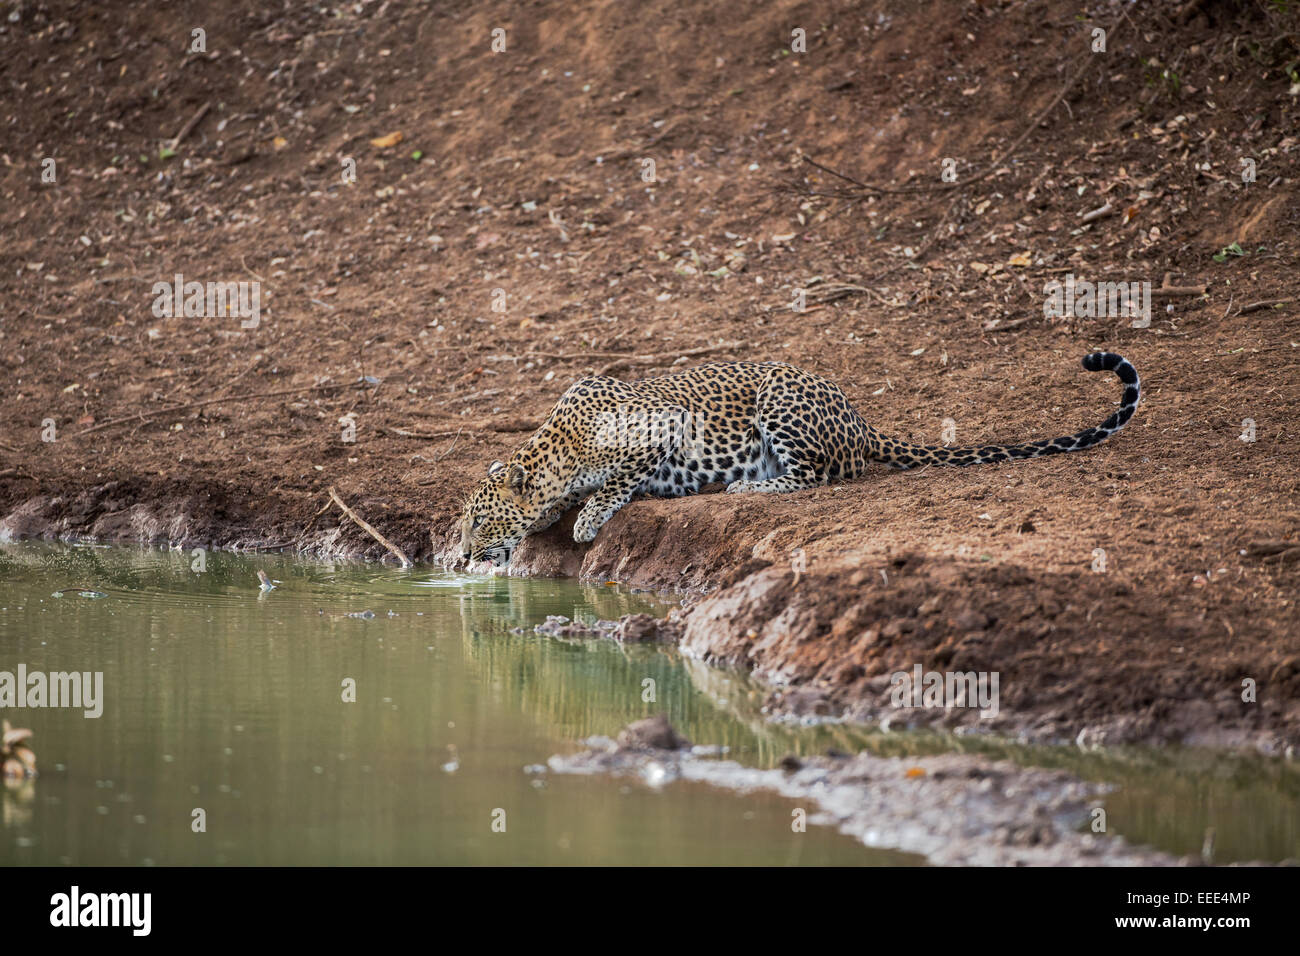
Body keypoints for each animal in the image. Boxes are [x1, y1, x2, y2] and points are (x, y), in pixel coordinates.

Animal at [457, 351, 1140, 567]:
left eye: (477, 522)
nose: (459, 558)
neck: (559, 446)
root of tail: (860, 420)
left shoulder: (664, 428)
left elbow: (617, 480)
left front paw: (587, 518)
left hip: (779, 400)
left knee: (816, 477)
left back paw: (746, 489)